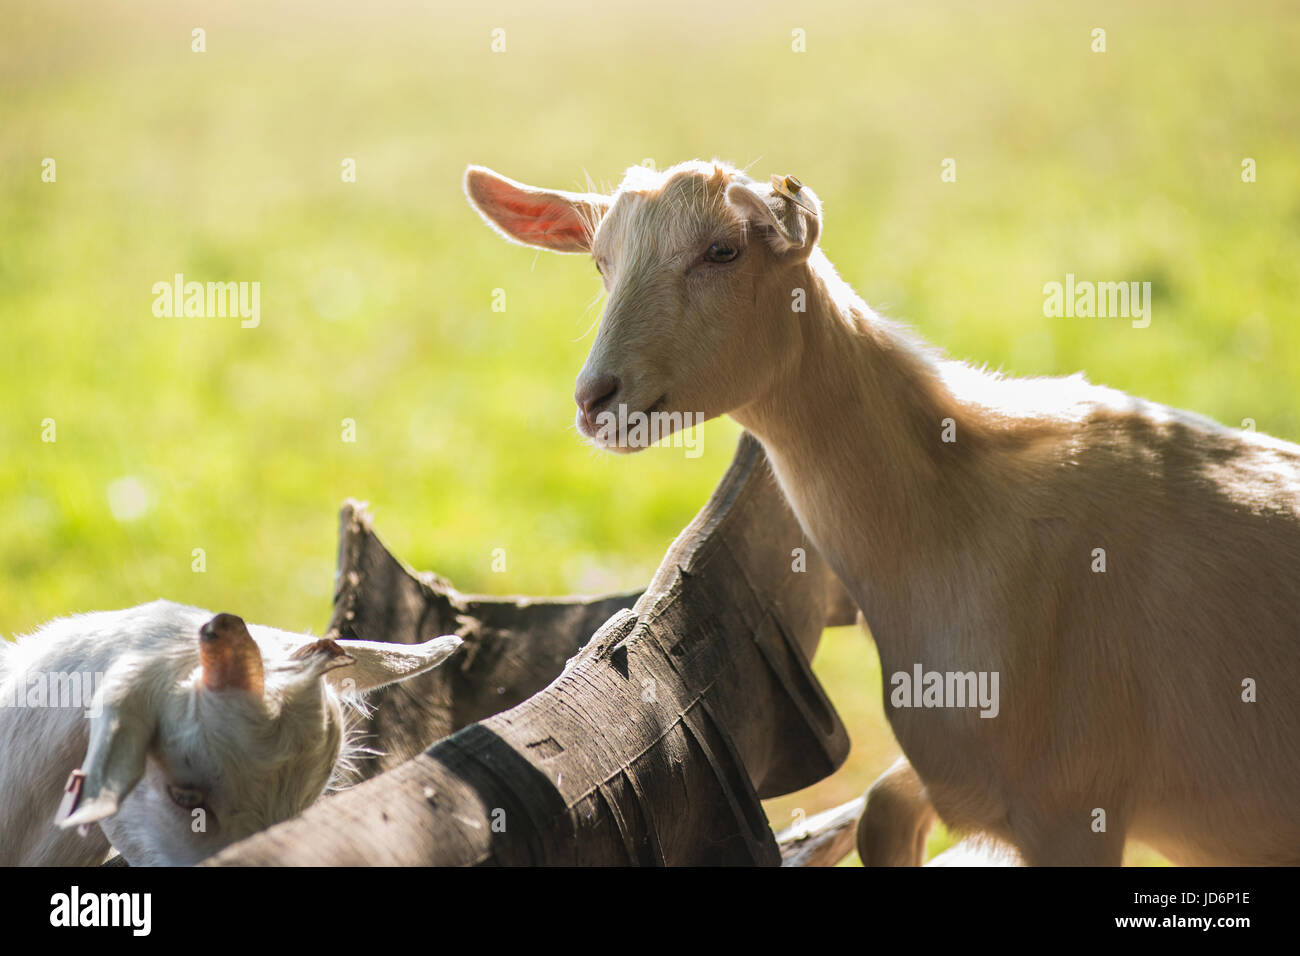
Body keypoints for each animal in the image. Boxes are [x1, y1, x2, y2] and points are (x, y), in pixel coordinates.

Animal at [464, 159, 1300, 865]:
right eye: (601, 263)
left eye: (724, 251)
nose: (595, 399)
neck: (959, 514)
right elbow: (879, 813)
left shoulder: (1074, 804)